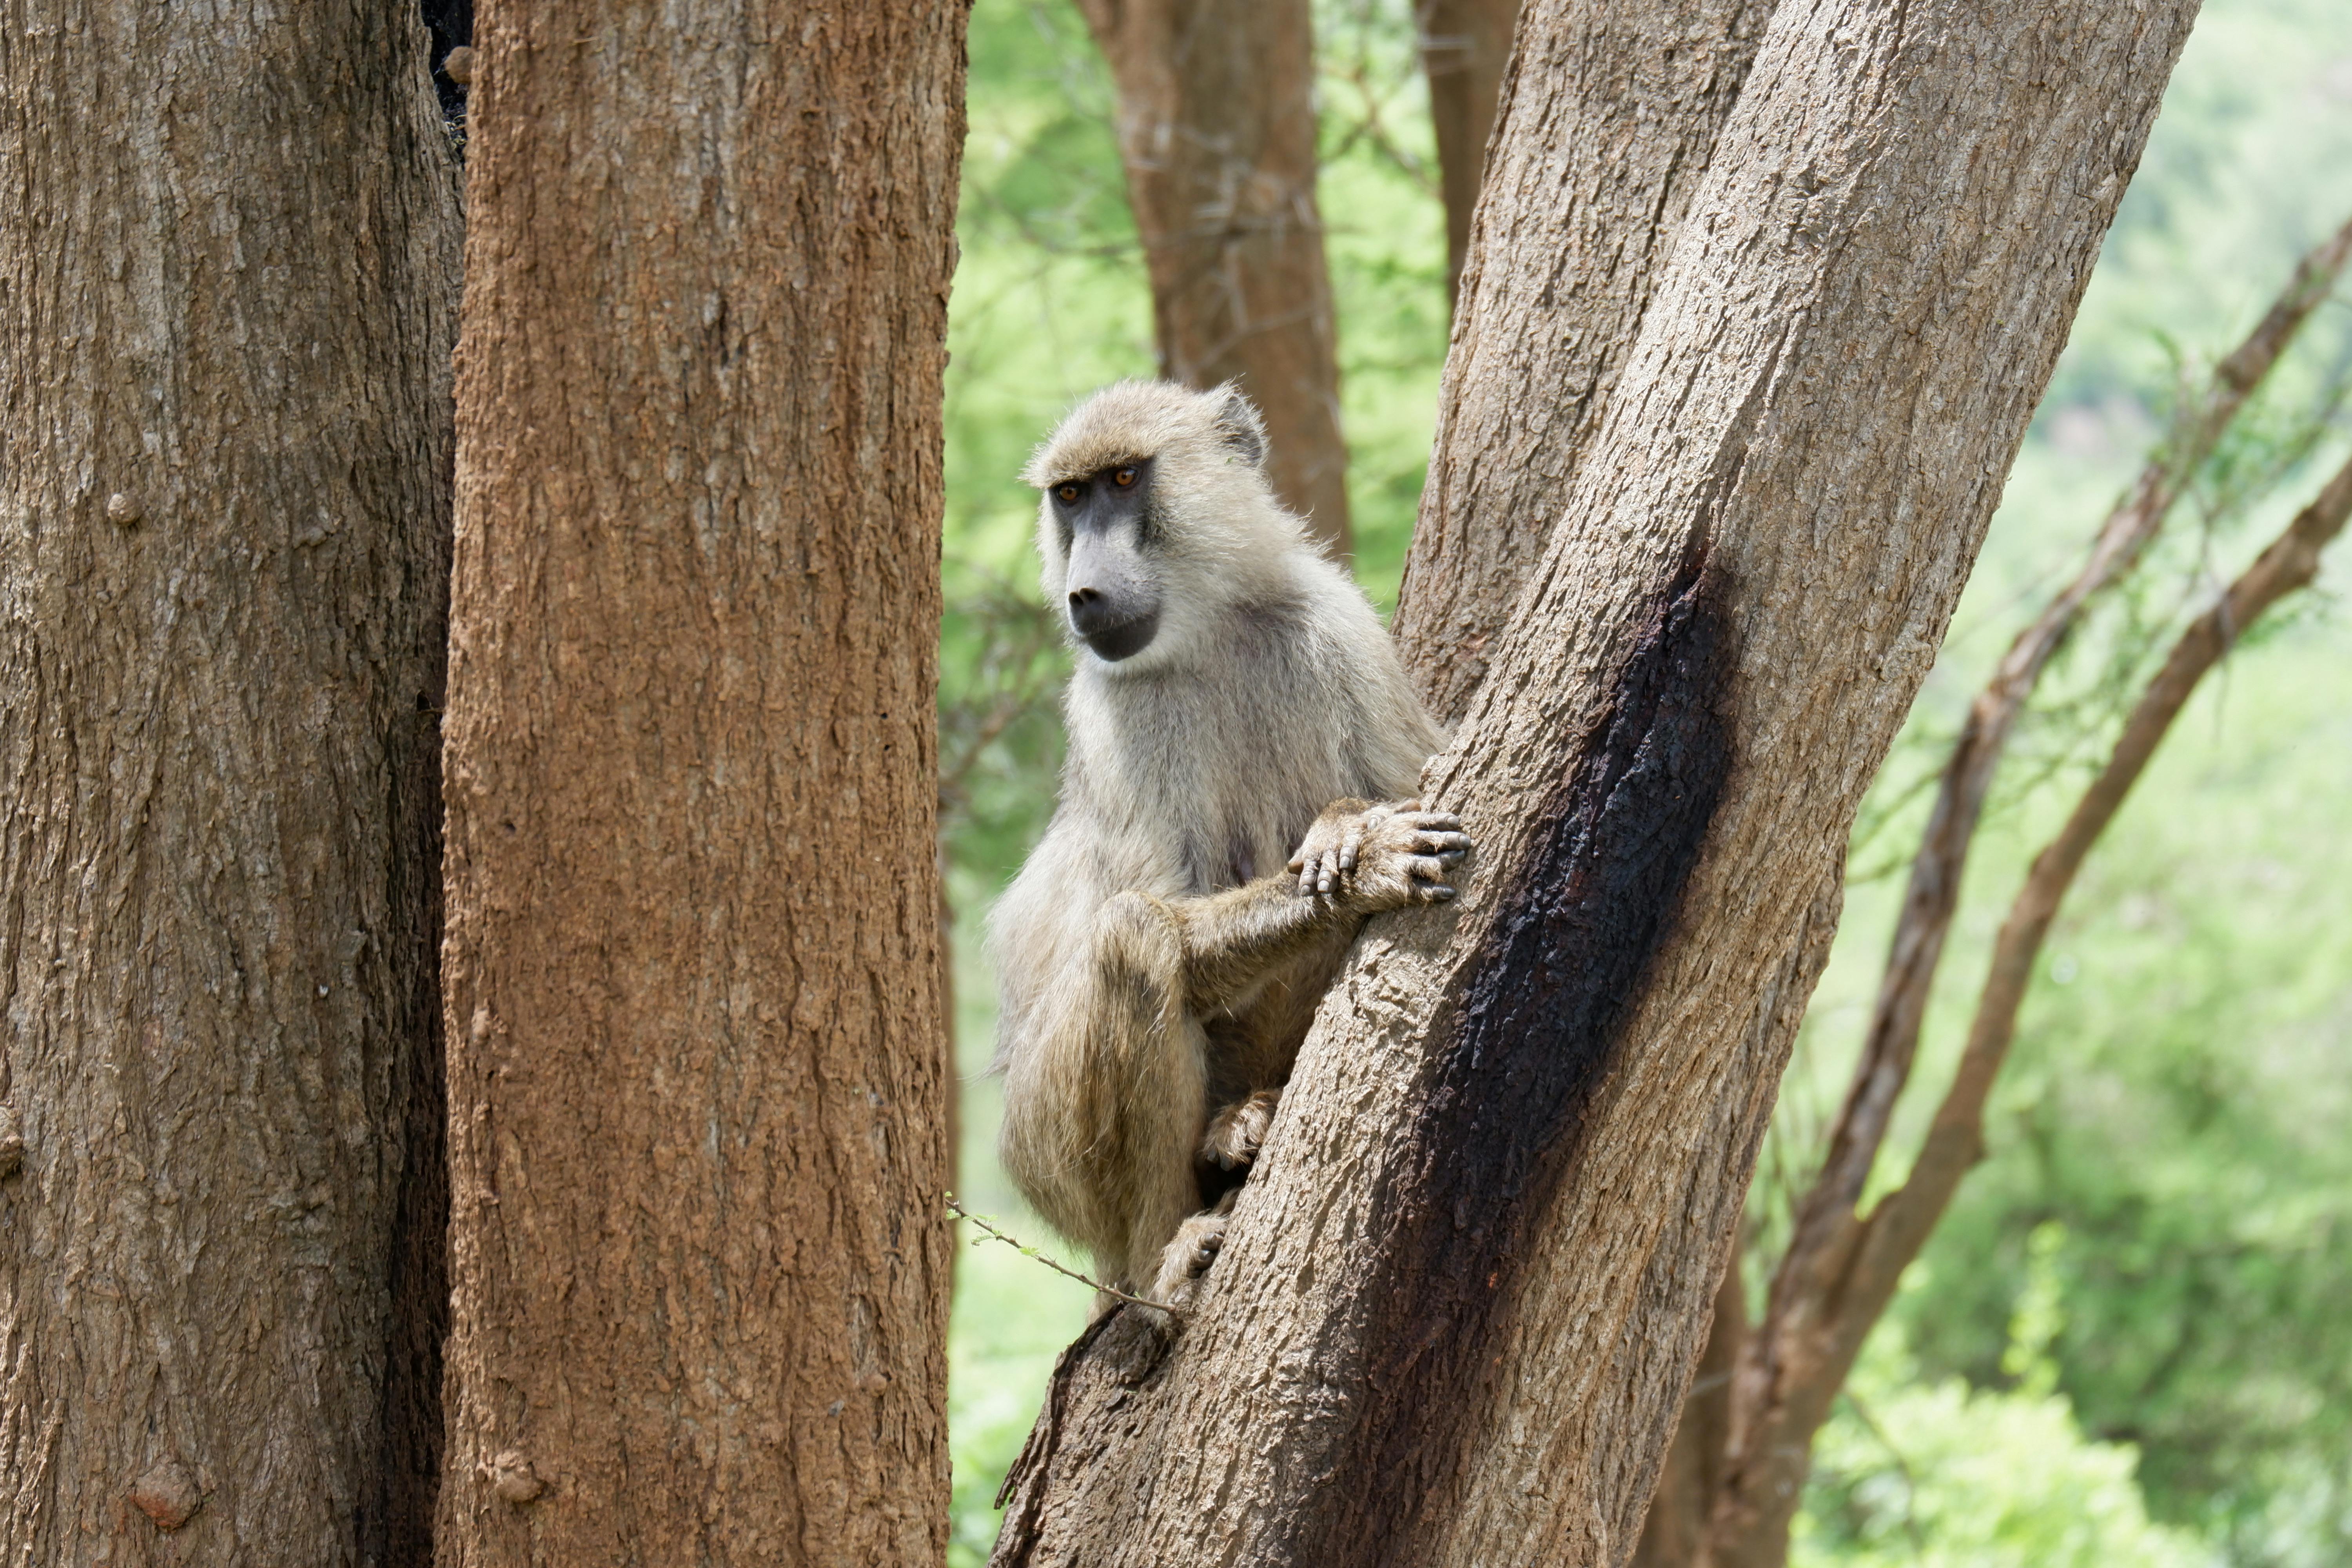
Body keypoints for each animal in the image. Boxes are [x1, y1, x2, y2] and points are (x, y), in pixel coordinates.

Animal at [987, 380, 1469, 1309]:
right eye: (1070, 496)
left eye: (1125, 479)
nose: (1083, 593)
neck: (1207, 629)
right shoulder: (1111, 711)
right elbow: (1156, 910)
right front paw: (1366, 865)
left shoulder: (1335, 624)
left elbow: (1418, 770)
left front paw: (1344, 827)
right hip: (1041, 1151)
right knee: (1130, 937)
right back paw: (1163, 1258)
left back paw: (1242, 1121)